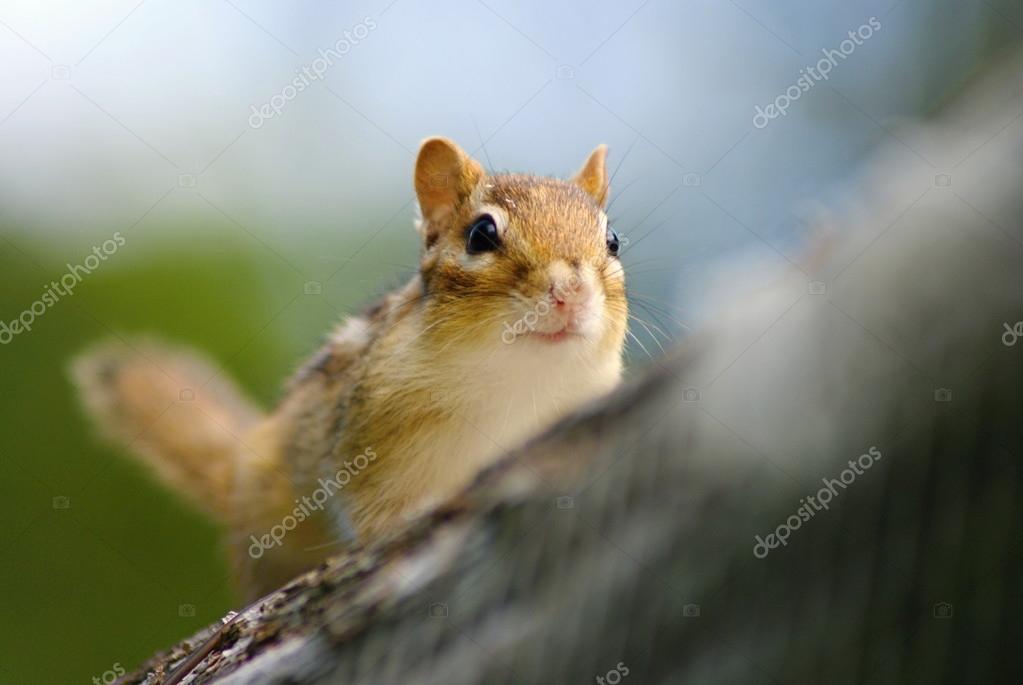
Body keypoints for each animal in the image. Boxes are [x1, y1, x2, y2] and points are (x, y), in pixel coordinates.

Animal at [72, 137, 628, 599]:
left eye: (613, 240)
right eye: (481, 234)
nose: (571, 292)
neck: (522, 378)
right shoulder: (367, 446)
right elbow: (373, 511)